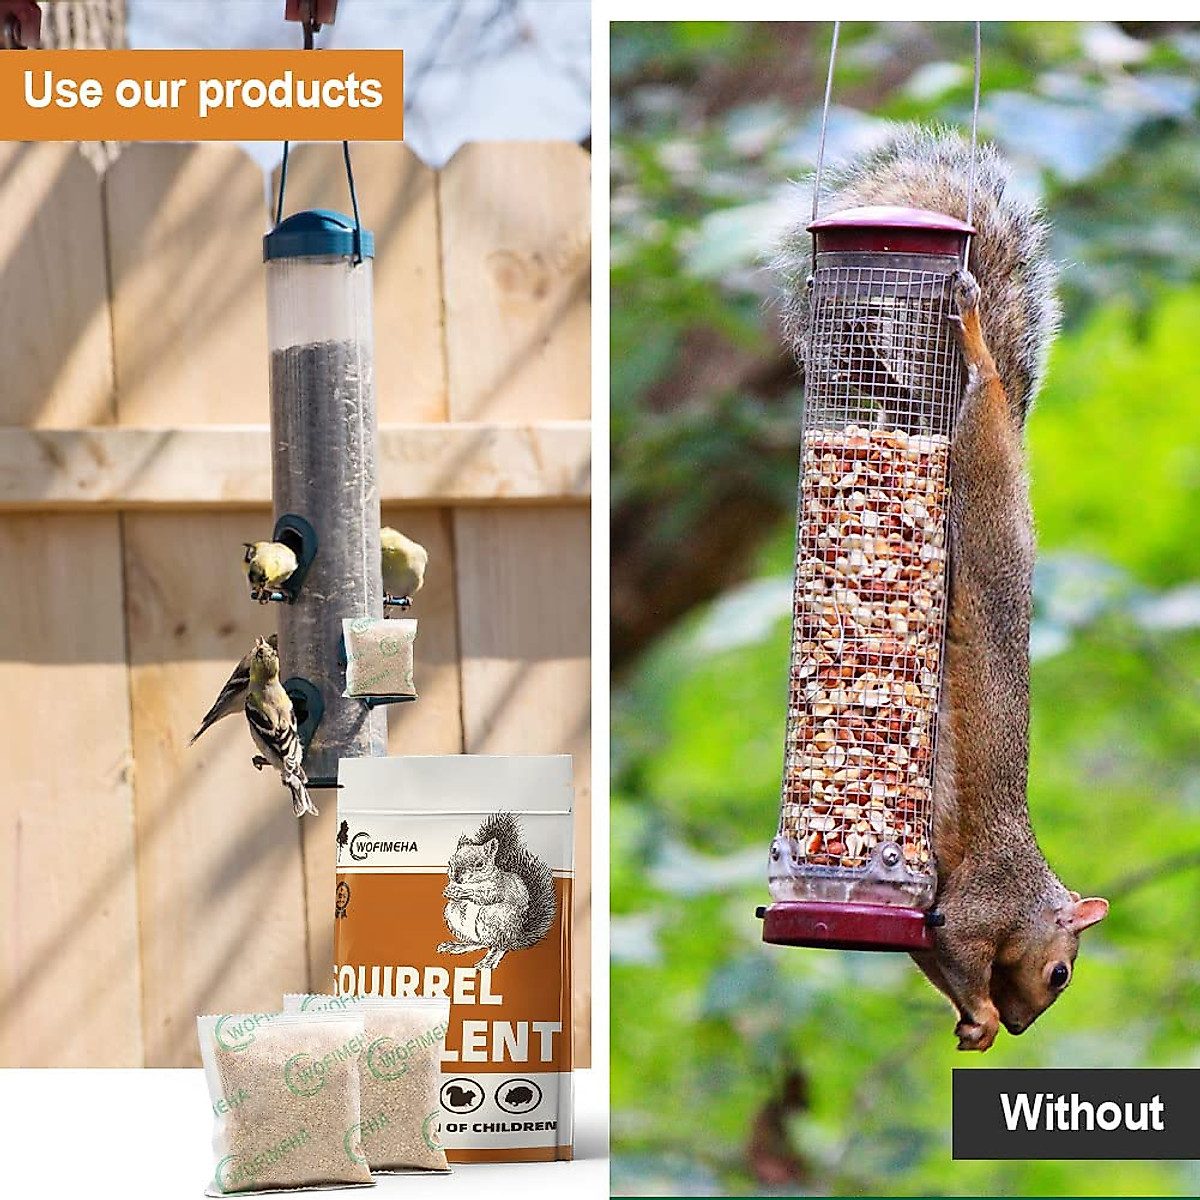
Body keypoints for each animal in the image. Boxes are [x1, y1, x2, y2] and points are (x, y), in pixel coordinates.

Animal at [436, 811, 557, 971]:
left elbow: (485, 896)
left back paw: (488, 961)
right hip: (453, 915)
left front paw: (464, 893)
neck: (470, 883)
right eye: (451, 861)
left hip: (493, 918)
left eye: (480, 864)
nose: (457, 878)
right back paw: (457, 946)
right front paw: (449, 891)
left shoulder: (497, 888)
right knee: (480, 942)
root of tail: (515, 937)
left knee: (499, 946)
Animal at [779, 126, 1109, 1051]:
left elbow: (927, 950)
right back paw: (969, 332)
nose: (1029, 1026)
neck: (1028, 888)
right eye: (1062, 973)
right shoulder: (976, 906)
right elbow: (960, 945)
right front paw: (988, 1017)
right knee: (985, 388)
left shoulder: (931, 911)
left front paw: (975, 1024)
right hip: (984, 469)